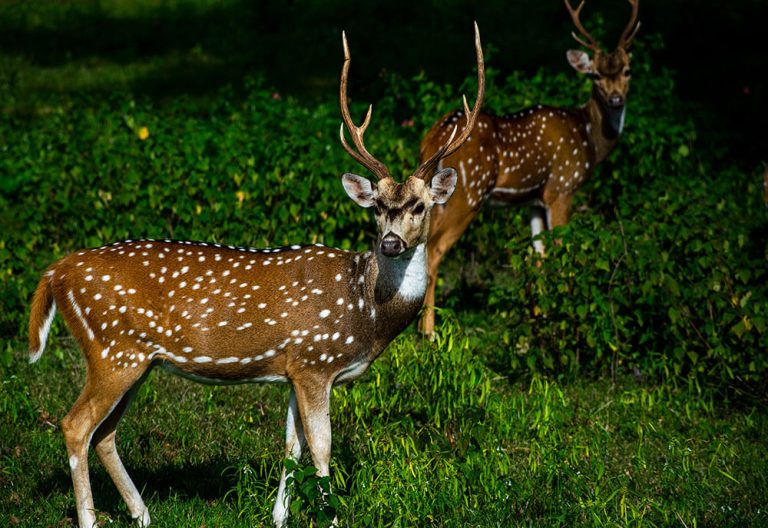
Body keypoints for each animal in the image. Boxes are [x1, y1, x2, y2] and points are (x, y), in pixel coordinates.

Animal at [27, 24, 485, 528]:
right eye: (378, 207)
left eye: (419, 206)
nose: (389, 243)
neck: (365, 308)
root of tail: (56, 272)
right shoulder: (315, 361)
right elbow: (321, 450)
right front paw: (330, 517)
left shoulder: (294, 367)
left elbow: (291, 447)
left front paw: (279, 516)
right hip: (112, 348)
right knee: (75, 425)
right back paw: (91, 517)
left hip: (135, 357)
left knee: (104, 433)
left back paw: (143, 514)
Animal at [417, 0, 640, 336]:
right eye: (595, 75)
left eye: (626, 70)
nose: (615, 99)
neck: (589, 137)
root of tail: (434, 139)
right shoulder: (561, 187)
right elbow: (562, 248)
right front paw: (564, 316)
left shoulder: (533, 199)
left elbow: (539, 255)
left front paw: (541, 315)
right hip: (468, 193)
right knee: (433, 251)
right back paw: (428, 332)